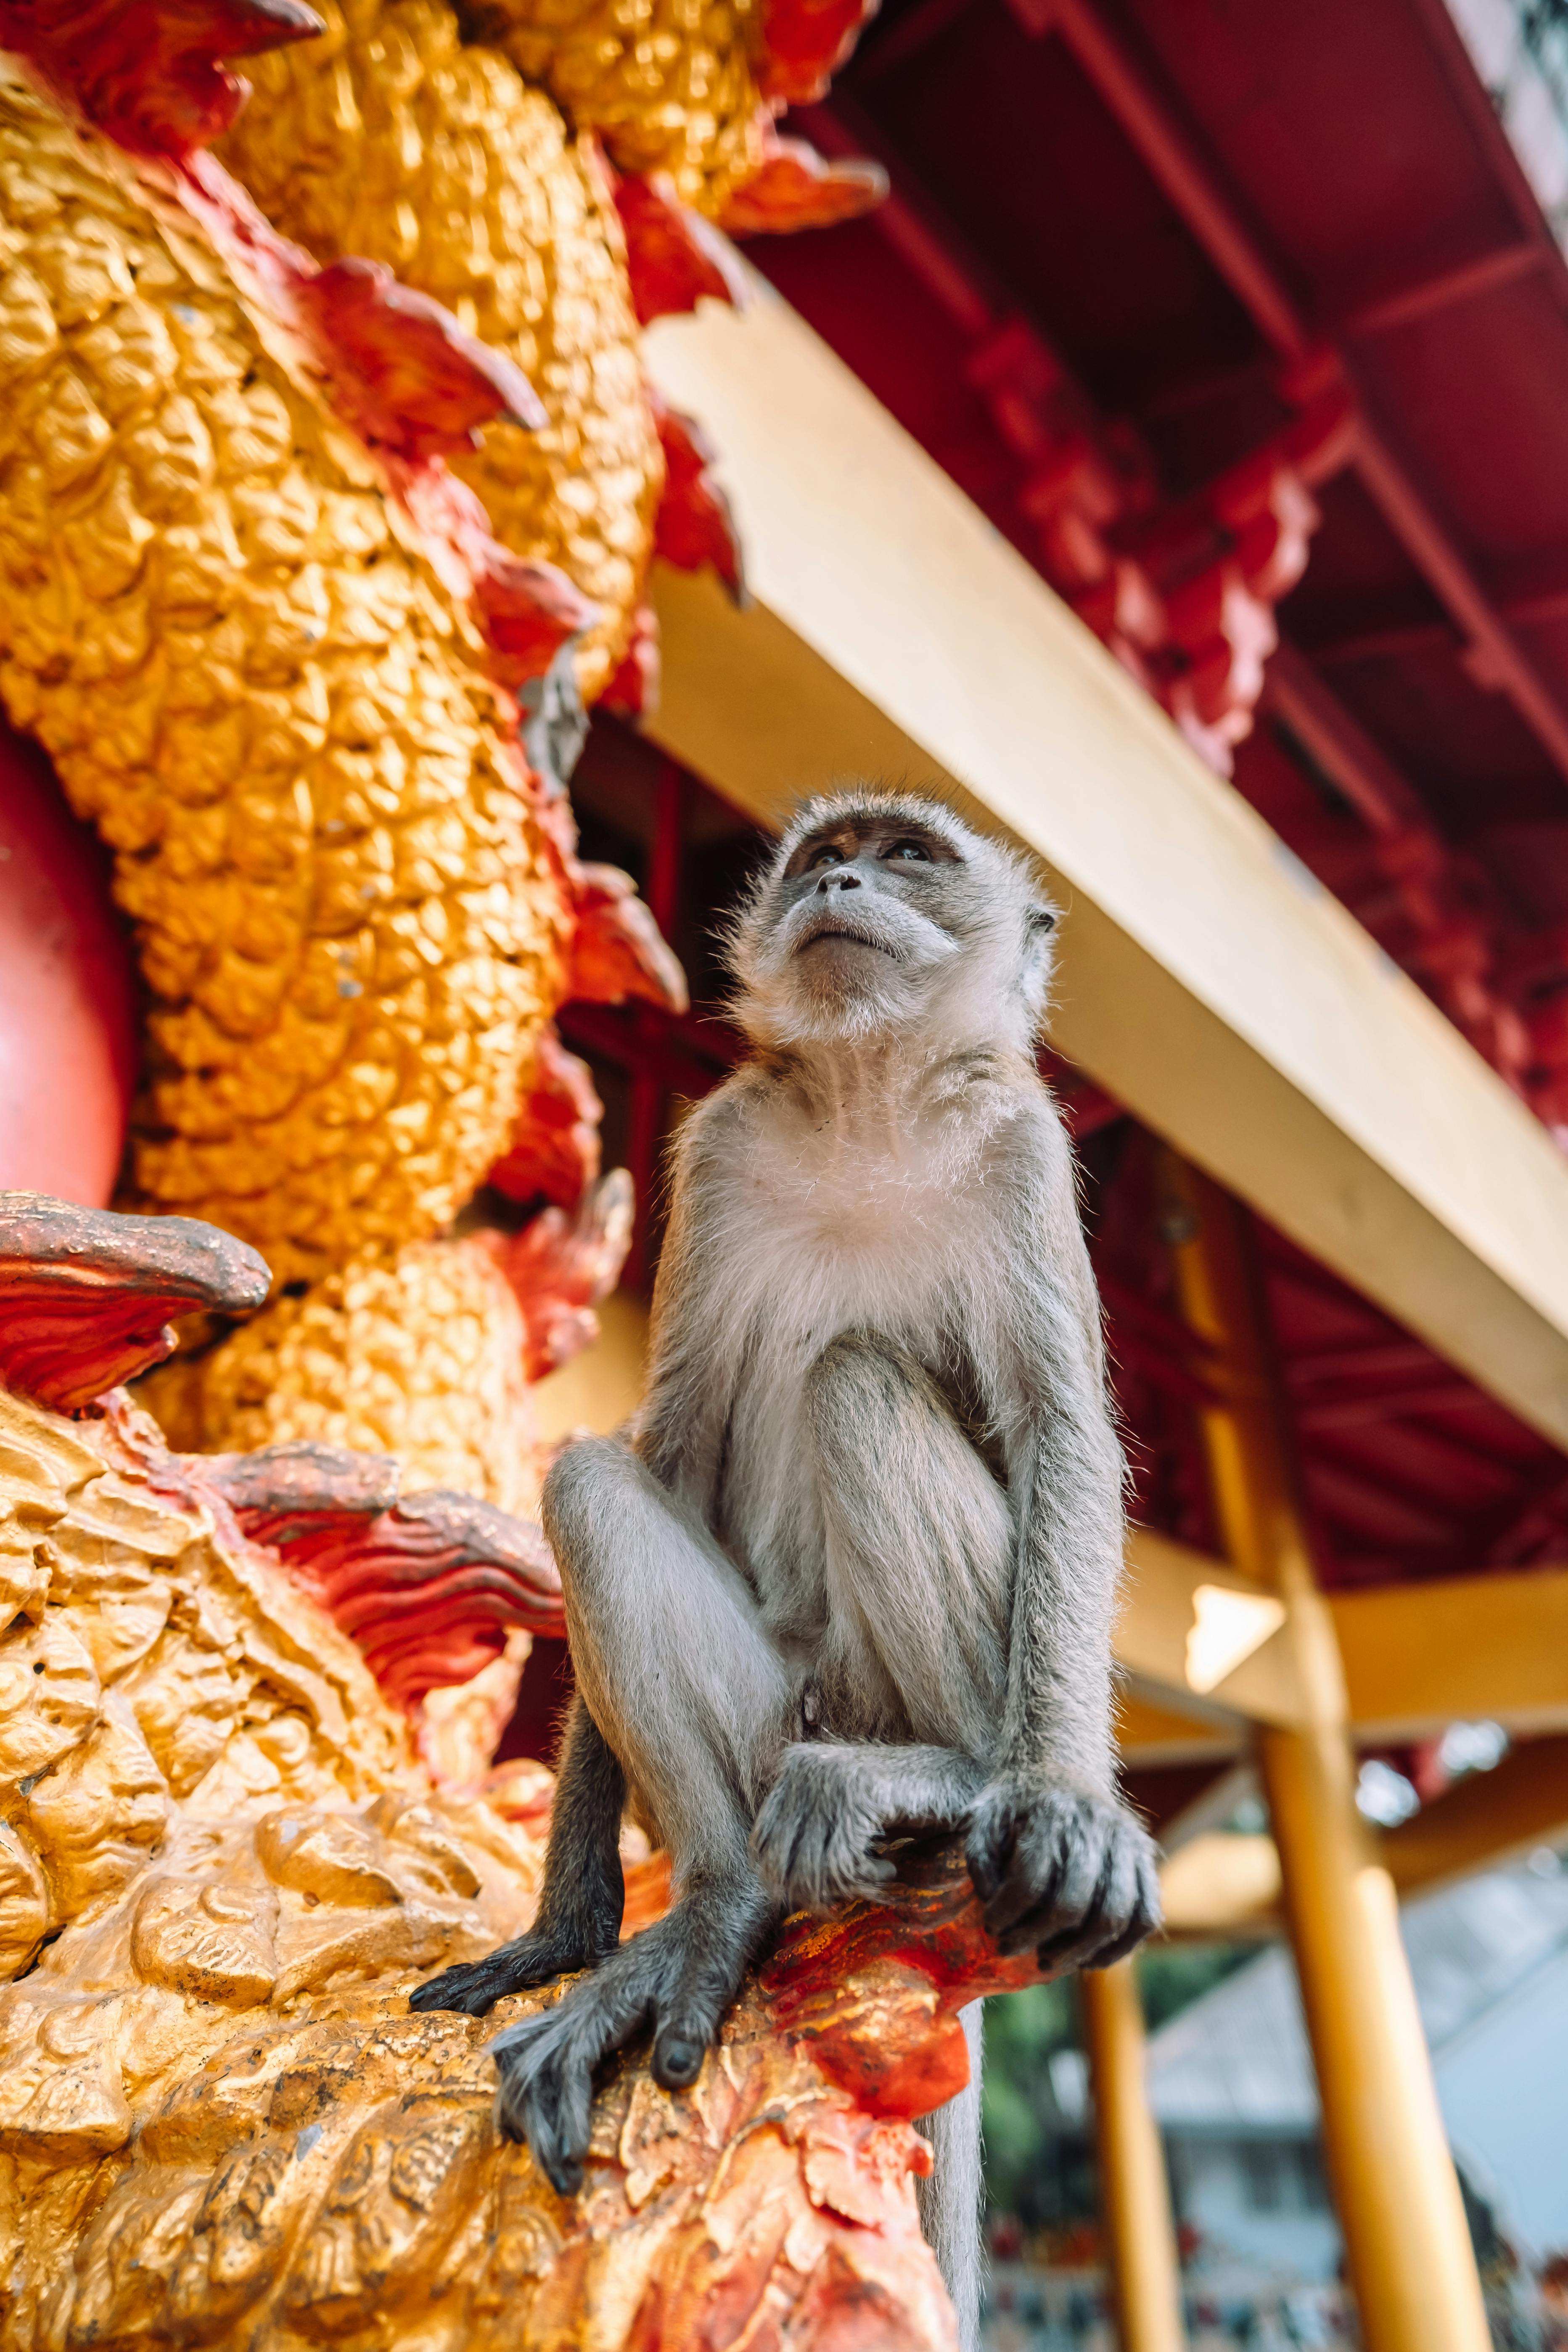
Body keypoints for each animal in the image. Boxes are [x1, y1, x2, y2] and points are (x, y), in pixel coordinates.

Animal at [411, 788, 1162, 2347]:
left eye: (907, 855)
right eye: (827, 854)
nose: (841, 885)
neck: (868, 1104)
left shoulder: (1023, 1155)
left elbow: (1061, 1438)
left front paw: (1069, 1803)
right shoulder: (720, 1152)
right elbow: (671, 1448)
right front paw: (564, 1924)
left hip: (907, 1695)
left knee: (858, 1379)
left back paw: (956, 1779)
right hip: (777, 1714)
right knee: (597, 1483)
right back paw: (713, 1907)